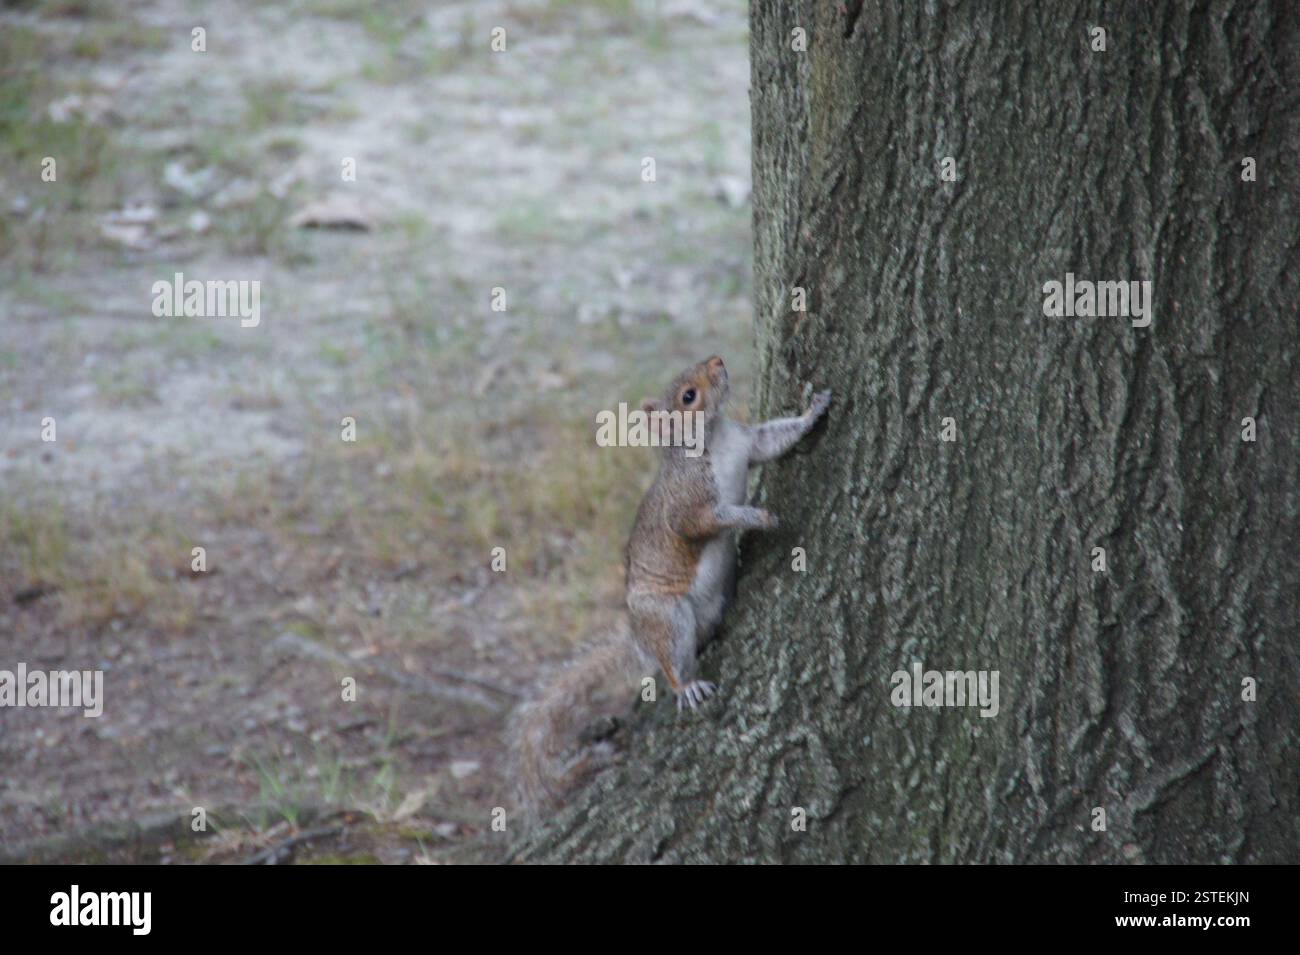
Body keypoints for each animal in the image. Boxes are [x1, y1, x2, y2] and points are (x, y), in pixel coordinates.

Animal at [510, 355, 831, 811]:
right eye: (688, 396)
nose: (717, 360)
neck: (716, 438)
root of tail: (640, 639)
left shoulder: (750, 445)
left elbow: (776, 439)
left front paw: (814, 410)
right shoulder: (687, 506)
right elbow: (705, 521)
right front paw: (756, 517)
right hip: (666, 615)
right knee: (670, 660)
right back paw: (687, 685)